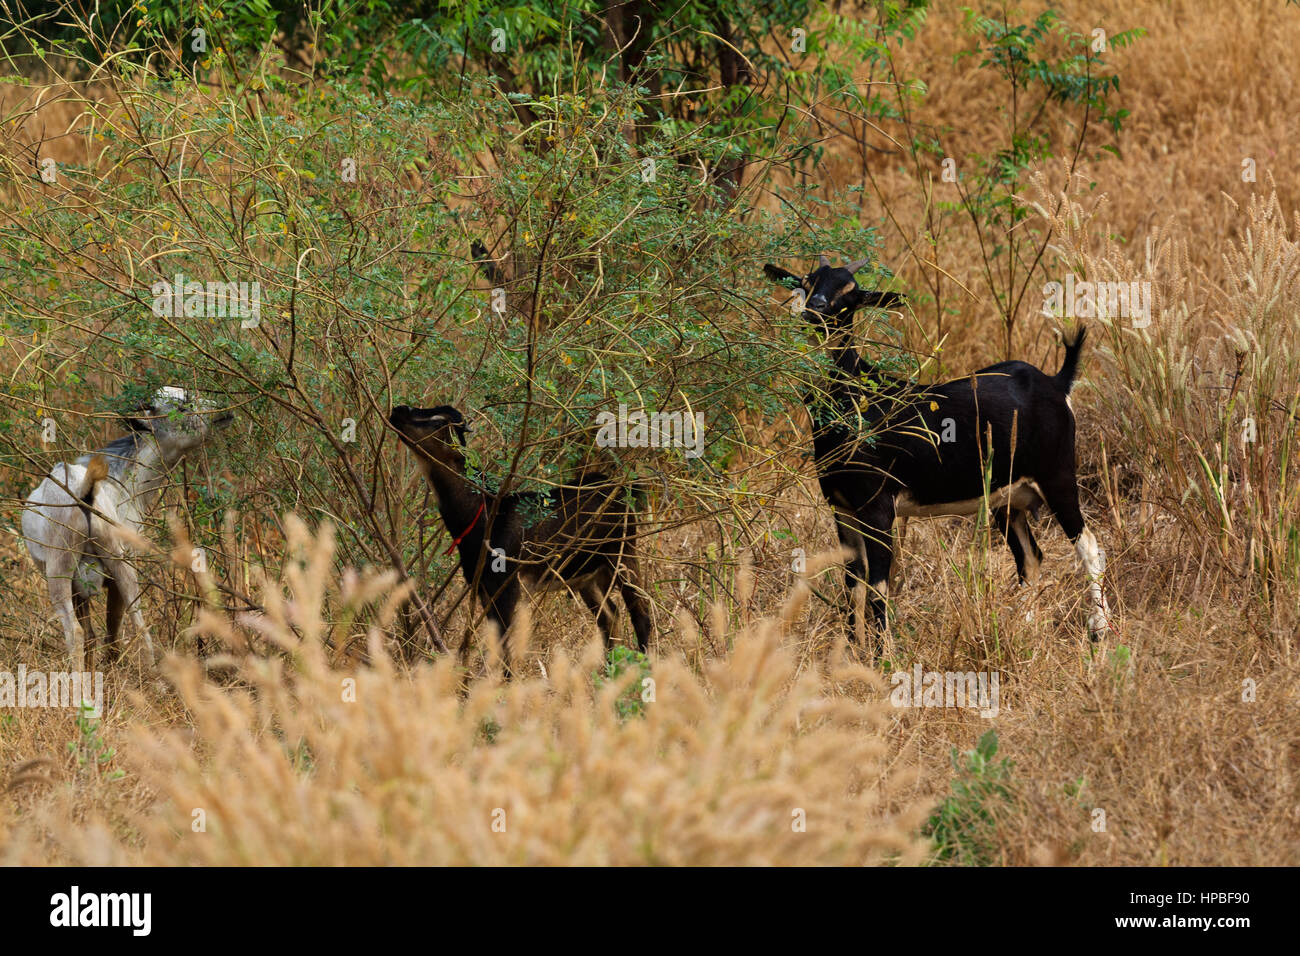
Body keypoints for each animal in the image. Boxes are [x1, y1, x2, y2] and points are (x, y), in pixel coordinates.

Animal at [21, 386, 234, 669]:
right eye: (182, 406)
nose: (225, 411)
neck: (122, 482)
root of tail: (84, 490)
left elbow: (99, 632)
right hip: (93, 562)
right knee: (112, 626)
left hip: (81, 566)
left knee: (96, 630)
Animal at [388, 404, 653, 673]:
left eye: (437, 422)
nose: (398, 410)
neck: (481, 515)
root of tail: (624, 491)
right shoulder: (483, 586)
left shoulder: (507, 584)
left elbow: (507, 648)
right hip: (587, 574)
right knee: (609, 616)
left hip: (622, 554)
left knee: (641, 613)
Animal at [764, 256, 1110, 642]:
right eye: (807, 282)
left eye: (851, 293)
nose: (816, 310)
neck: (856, 398)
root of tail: (1055, 382)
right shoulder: (842, 506)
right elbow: (853, 584)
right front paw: (852, 647)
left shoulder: (878, 505)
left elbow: (878, 586)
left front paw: (882, 653)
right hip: (1009, 497)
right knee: (1031, 557)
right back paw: (1024, 627)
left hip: (1057, 475)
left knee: (1088, 545)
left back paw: (1100, 631)